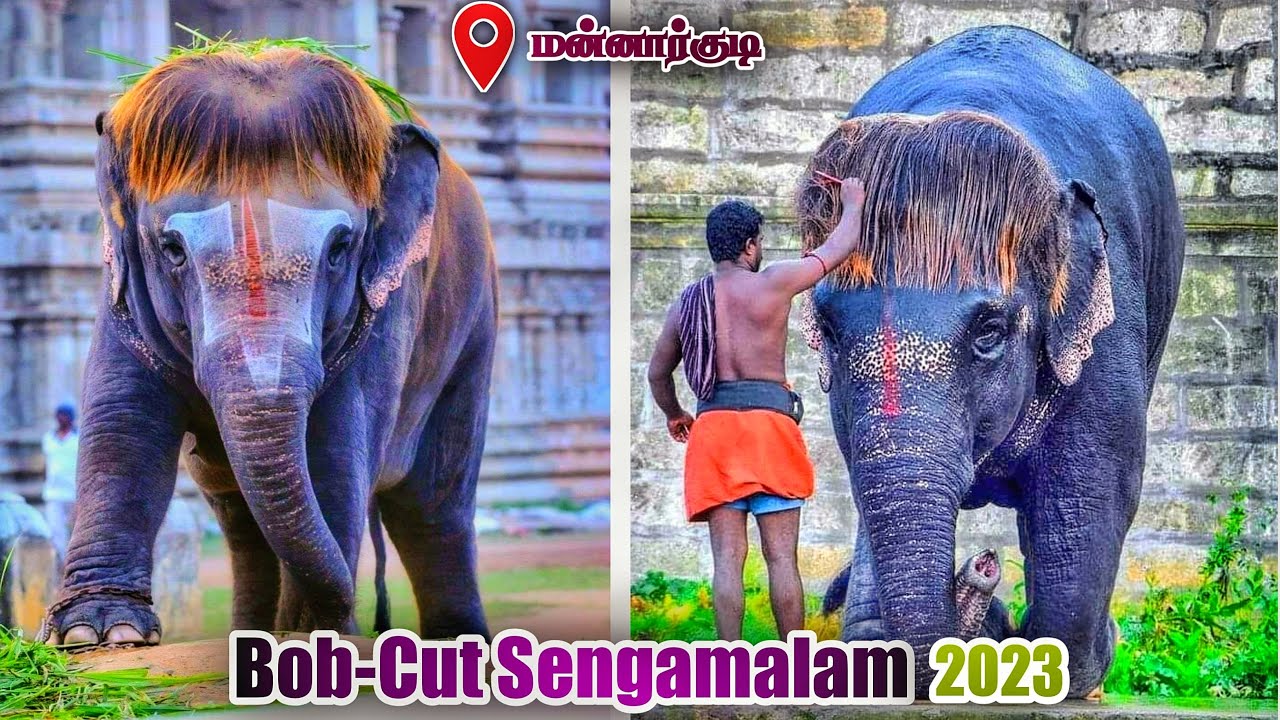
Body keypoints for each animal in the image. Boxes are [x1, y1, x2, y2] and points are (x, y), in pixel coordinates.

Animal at [40, 48, 497, 646]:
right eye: (171, 249)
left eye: (340, 248)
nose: (351, 616)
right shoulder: (121, 292)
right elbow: (124, 418)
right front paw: (96, 633)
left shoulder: (382, 309)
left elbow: (334, 444)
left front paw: (312, 636)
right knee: (239, 518)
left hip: (475, 330)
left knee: (434, 505)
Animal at [799, 27, 1184, 696]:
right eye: (828, 329)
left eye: (989, 332)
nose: (982, 566)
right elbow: (865, 479)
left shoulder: (1107, 327)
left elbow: (1090, 491)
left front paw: (1060, 664)